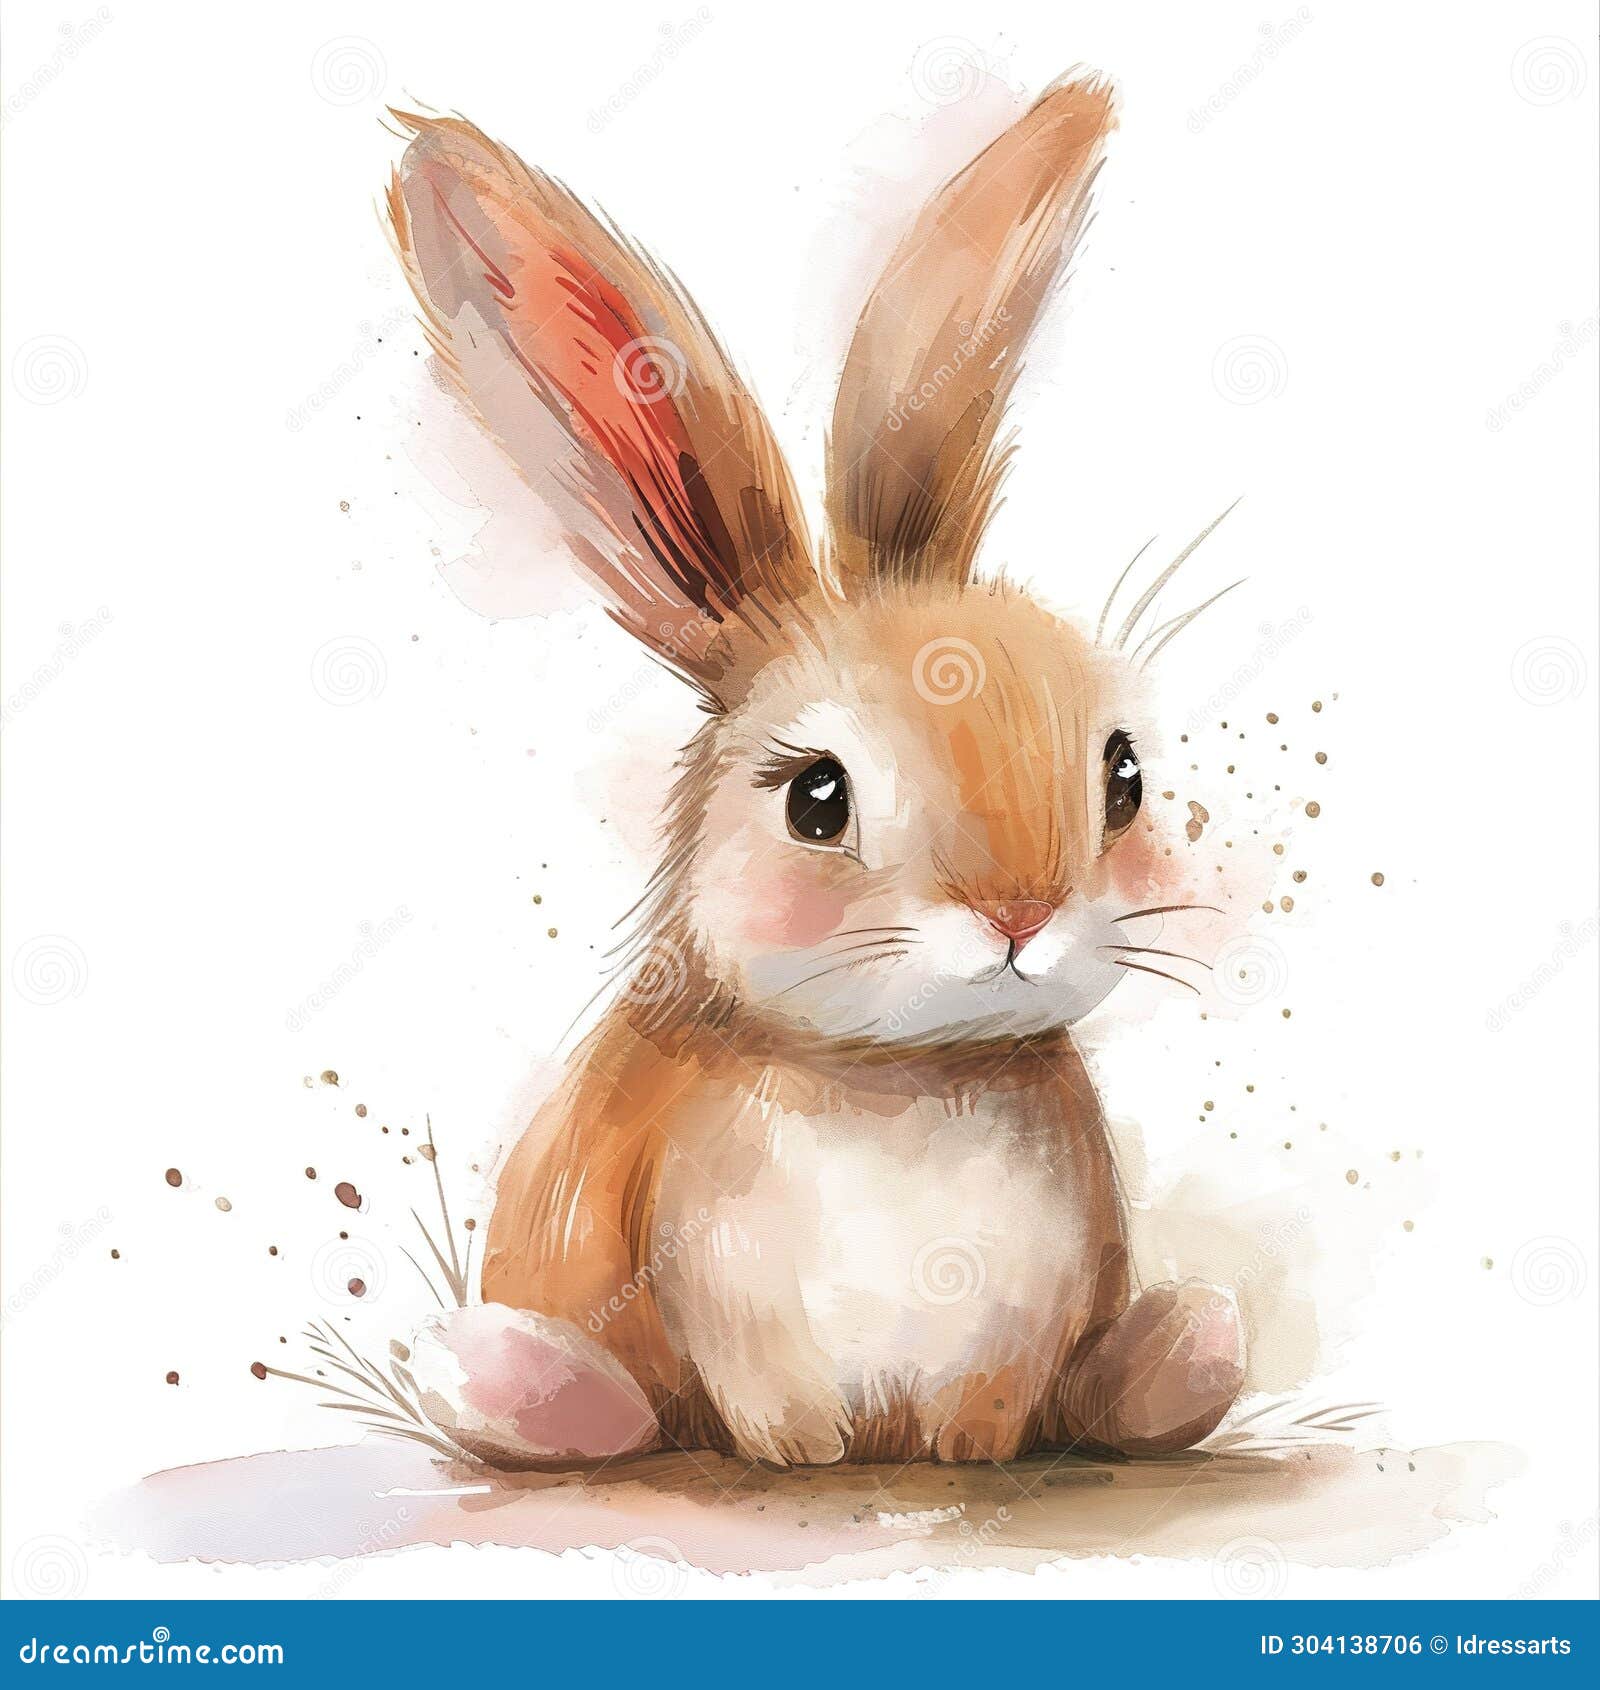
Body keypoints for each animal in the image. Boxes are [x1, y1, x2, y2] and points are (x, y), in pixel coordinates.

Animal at [389, 70, 1246, 1469]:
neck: (900, 1077)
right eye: (816, 797)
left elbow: (984, 1416)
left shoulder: (1017, 1333)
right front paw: (814, 1462)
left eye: (1119, 776)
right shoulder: (729, 1318)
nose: (1019, 912)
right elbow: (780, 1425)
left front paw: (962, 1456)